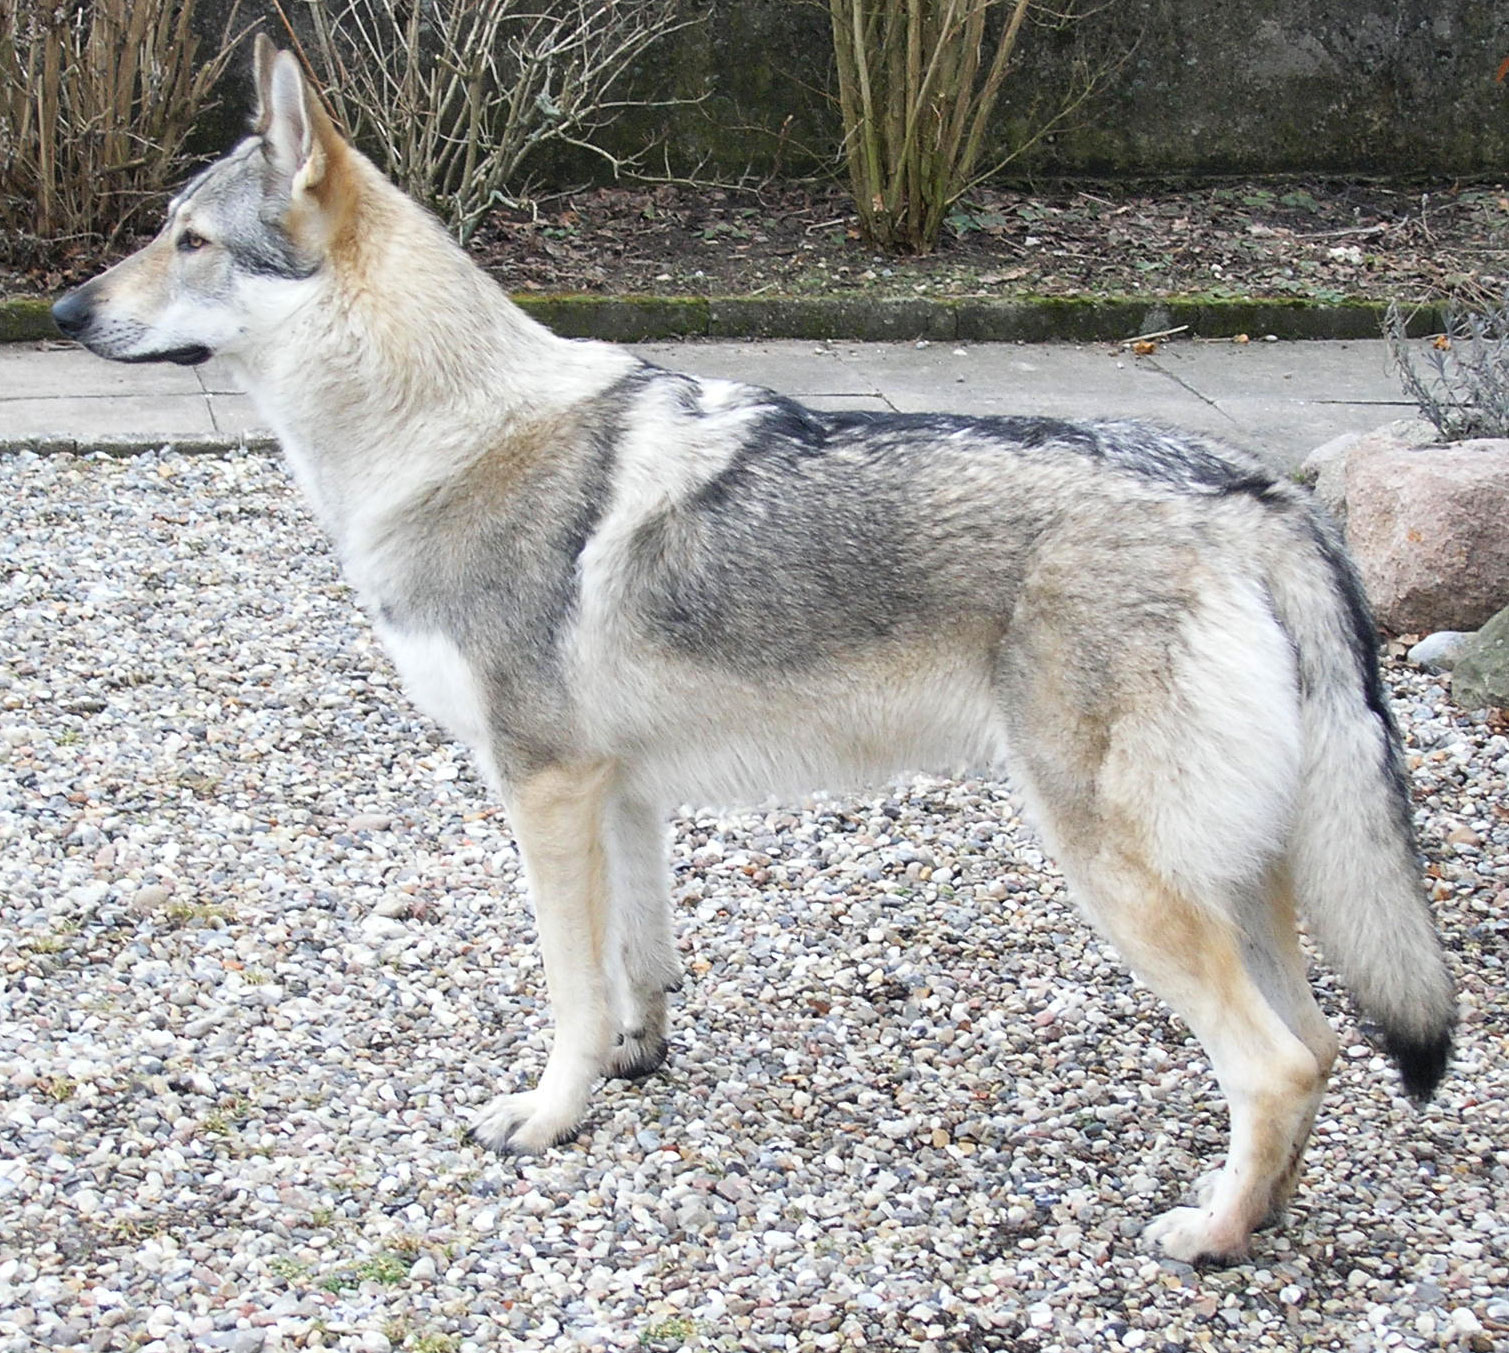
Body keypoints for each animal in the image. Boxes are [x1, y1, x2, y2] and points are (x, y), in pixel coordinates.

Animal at [52, 37, 1455, 1264]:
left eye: (188, 239)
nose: (61, 309)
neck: (445, 435)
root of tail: (1257, 495)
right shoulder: (618, 796)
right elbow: (640, 967)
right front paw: (636, 1065)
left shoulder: (543, 791)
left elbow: (568, 988)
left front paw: (550, 1117)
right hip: (1241, 873)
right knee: (1327, 1049)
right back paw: (1260, 1215)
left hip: (1124, 874)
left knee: (1277, 1063)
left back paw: (1209, 1239)